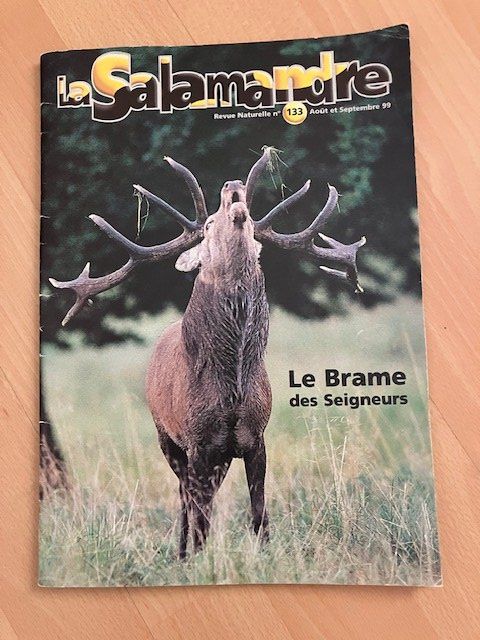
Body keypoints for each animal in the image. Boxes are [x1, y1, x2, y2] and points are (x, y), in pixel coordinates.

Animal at [49, 147, 365, 559]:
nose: (232, 185)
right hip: (166, 438)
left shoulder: (254, 437)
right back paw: (181, 551)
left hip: (218, 455)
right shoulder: (196, 440)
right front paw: (197, 558)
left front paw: (263, 554)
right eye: (211, 222)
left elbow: (259, 511)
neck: (232, 383)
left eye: (252, 226)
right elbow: (199, 514)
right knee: (186, 497)